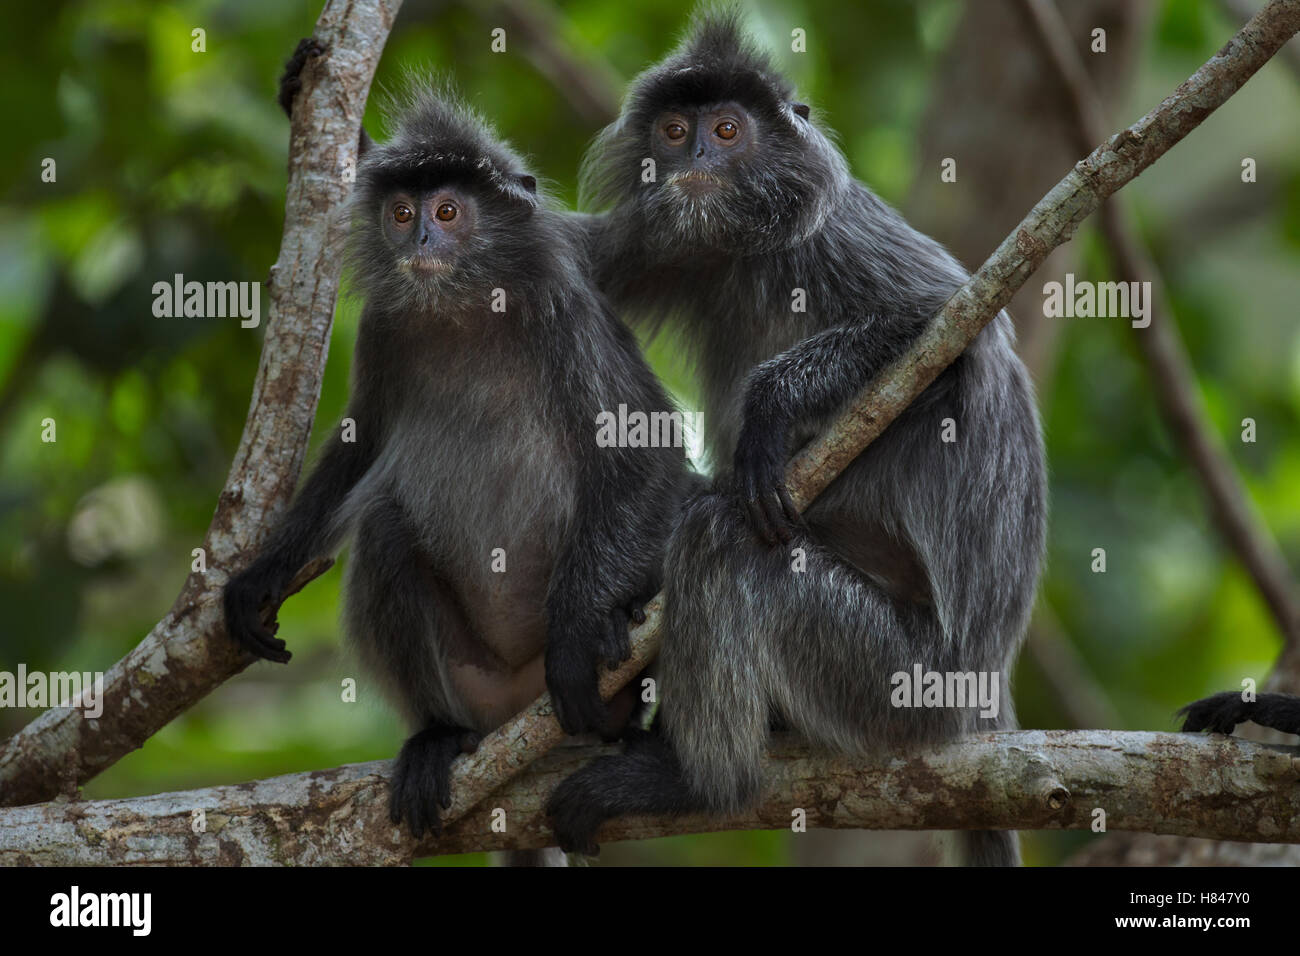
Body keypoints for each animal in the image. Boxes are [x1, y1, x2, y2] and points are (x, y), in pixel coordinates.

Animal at [223, 78, 692, 841]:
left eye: (448, 212)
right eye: (403, 213)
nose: (420, 238)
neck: (463, 306)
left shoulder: (563, 309)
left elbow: (645, 449)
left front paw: (577, 639)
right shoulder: (385, 327)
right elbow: (362, 445)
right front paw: (263, 574)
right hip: (476, 682)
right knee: (385, 531)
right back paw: (440, 735)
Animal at [544, 11, 1047, 866]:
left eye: (727, 130)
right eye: (676, 132)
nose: (698, 159)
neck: (748, 249)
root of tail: (984, 703)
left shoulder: (839, 235)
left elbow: (954, 327)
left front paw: (771, 411)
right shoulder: (661, 242)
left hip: (895, 682)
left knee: (723, 539)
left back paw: (694, 784)